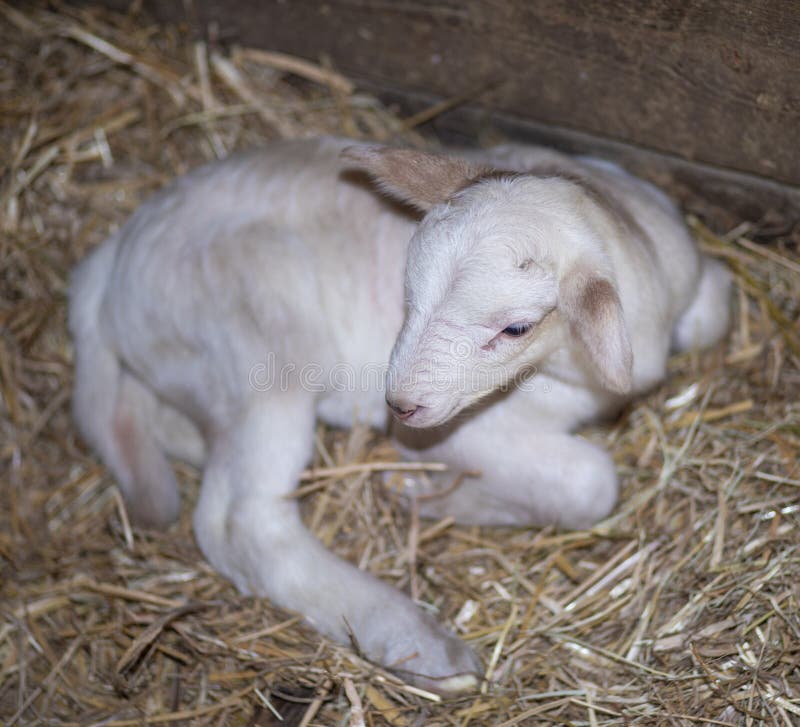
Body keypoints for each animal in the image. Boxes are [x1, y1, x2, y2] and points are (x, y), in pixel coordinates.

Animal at [69, 136, 731, 694]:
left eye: (516, 327)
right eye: (405, 290)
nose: (398, 405)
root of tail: (110, 261)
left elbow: (717, 307)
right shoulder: (467, 429)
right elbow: (591, 482)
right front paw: (410, 486)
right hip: (259, 349)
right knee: (241, 521)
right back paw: (419, 643)